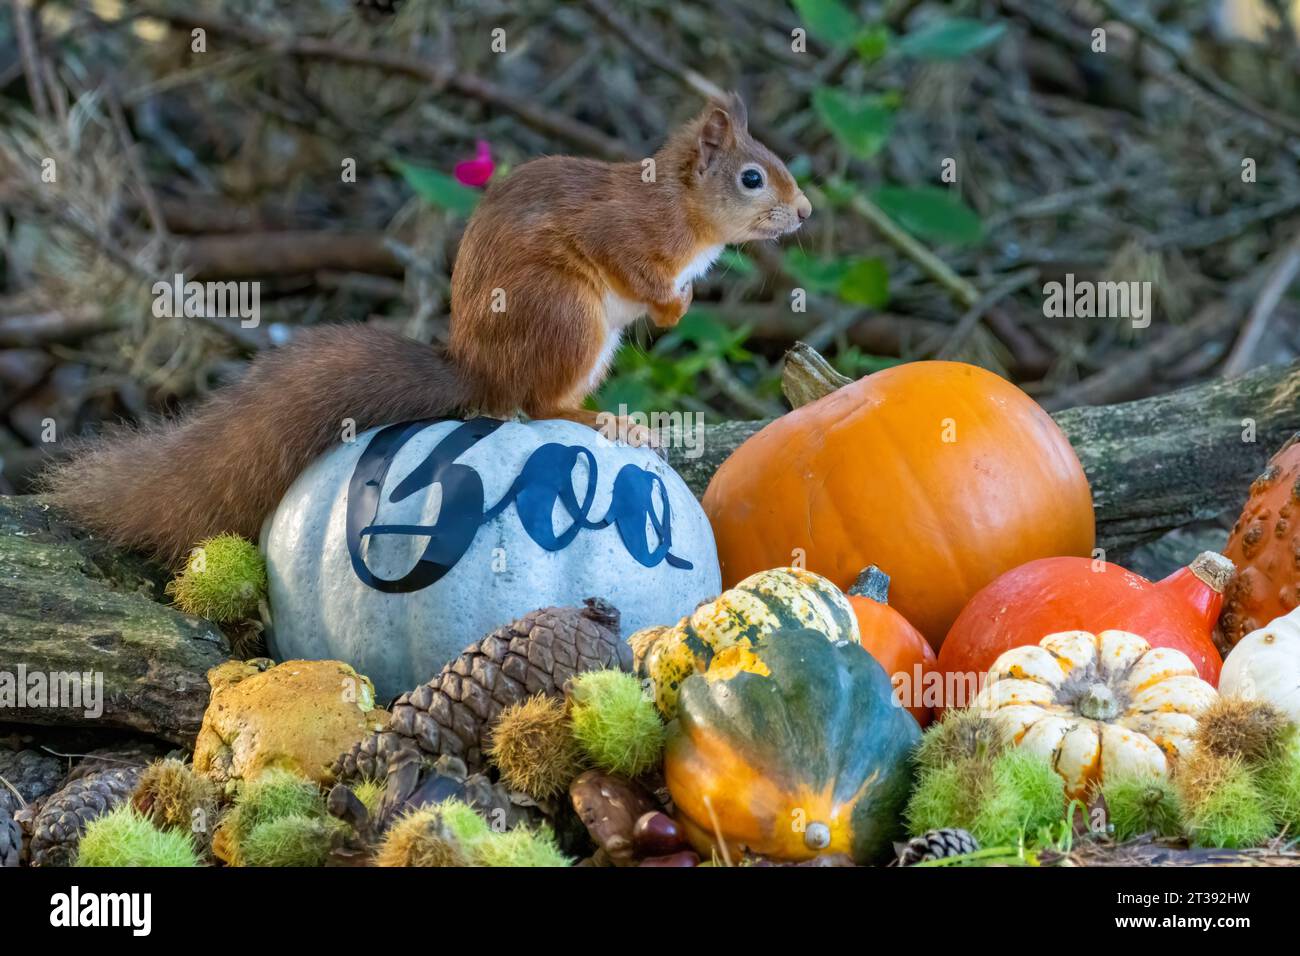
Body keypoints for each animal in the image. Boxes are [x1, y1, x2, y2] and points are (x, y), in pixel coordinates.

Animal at [41, 93, 811, 565]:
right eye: (751, 178)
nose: (803, 212)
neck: (683, 209)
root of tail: (477, 367)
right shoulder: (620, 233)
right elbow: (633, 269)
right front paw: (672, 305)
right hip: (569, 316)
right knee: (537, 405)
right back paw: (606, 420)